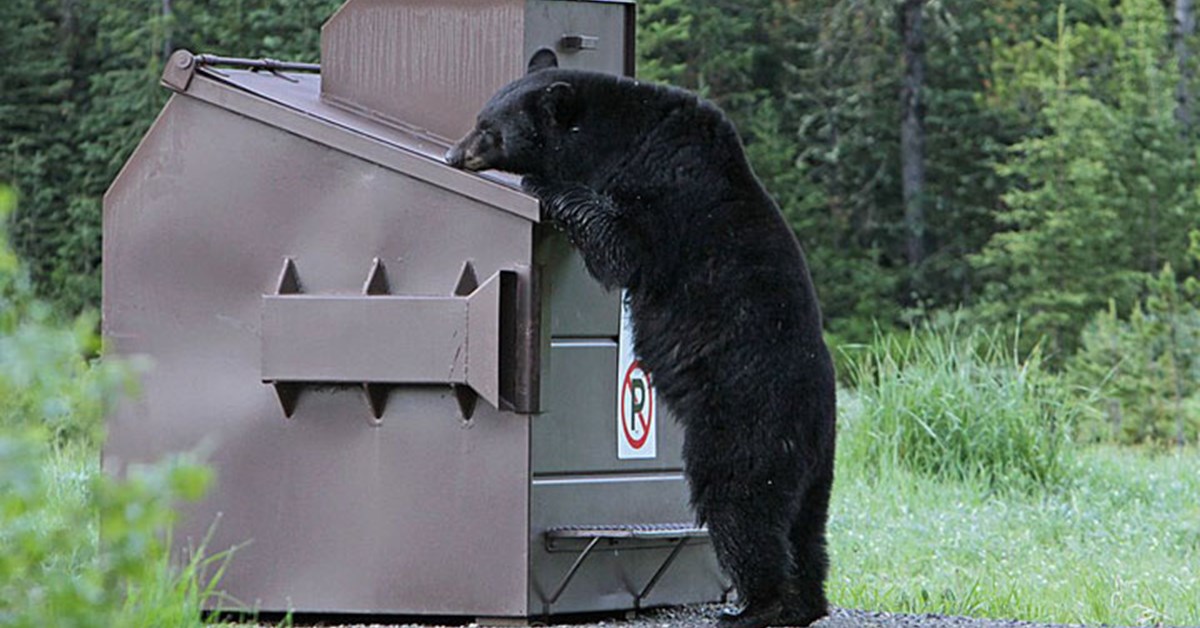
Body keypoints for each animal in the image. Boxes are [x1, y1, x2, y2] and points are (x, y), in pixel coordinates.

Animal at [447, 51, 837, 628]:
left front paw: (545, 185)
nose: (454, 154)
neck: (624, 136)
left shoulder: (667, 189)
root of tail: (813, 422)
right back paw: (805, 602)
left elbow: (622, 248)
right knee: (807, 529)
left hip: (745, 424)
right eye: (480, 116)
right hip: (814, 468)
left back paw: (757, 605)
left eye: (489, 128)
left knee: (741, 505)